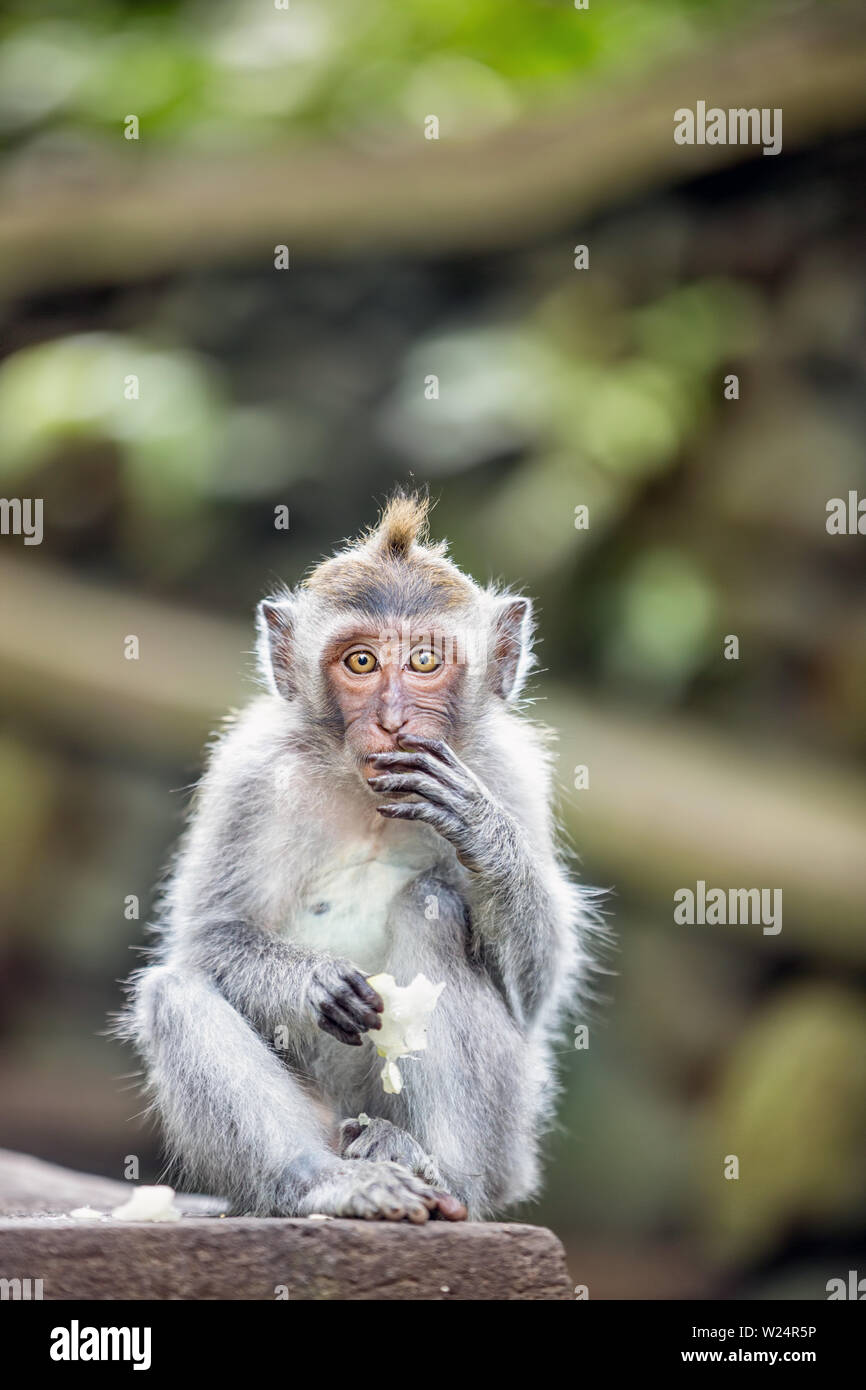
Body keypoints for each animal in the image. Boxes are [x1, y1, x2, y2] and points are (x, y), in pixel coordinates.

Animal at [117, 494, 596, 1222]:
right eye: (362, 663)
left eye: (425, 661)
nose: (393, 722)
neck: (371, 800)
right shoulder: (249, 772)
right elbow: (208, 935)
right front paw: (311, 982)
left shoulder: (511, 773)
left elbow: (535, 992)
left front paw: (481, 831)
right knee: (175, 993)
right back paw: (325, 1182)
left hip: (508, 1154)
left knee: (433, 907)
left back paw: (433, 1172)